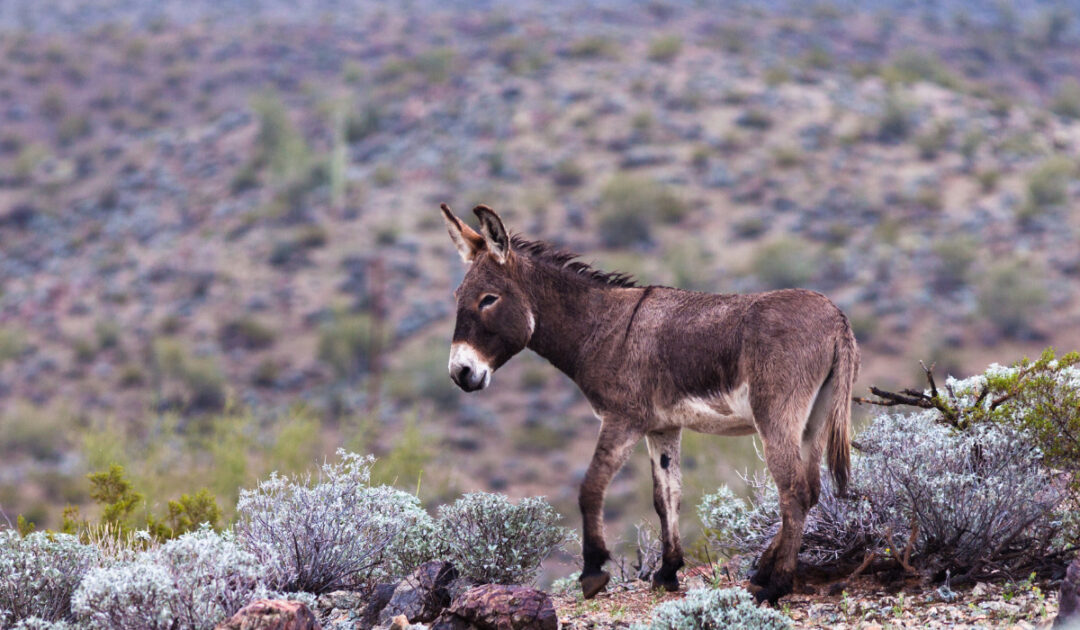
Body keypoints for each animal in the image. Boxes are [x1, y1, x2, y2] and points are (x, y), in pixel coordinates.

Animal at [440, 203, 859, 604]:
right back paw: (763, 571)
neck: (602, 328)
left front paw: (593, 573)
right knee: (811, 489)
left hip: (777, 416)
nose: (460, 373)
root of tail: (836, 317)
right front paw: (667, 572)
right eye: (457, 298)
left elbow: (591, 486)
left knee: (793, 491)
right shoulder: (662, 427)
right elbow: (666, 496)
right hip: (814, 419)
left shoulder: (622, 419)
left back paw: (776, 586)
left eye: (488, 299)